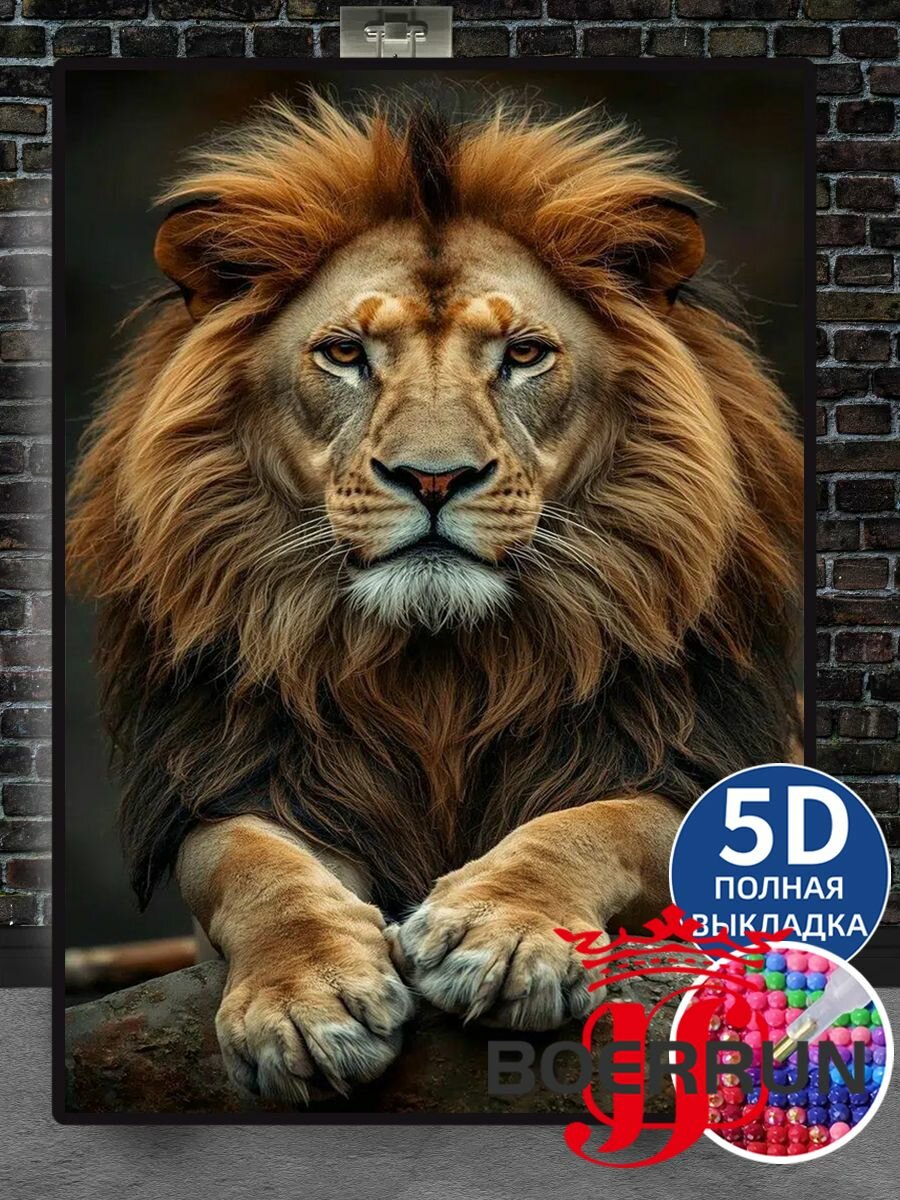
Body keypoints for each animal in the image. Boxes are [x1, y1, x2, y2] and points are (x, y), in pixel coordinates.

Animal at [68, 94, 803, 1104]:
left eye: (524, 354)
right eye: (345, 353)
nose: (433, 478)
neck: (440, 673)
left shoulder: (686, 759)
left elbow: (597, 823)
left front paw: (499, 932)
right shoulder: (245, 778)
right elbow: (254, 865)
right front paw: (306, 1001)